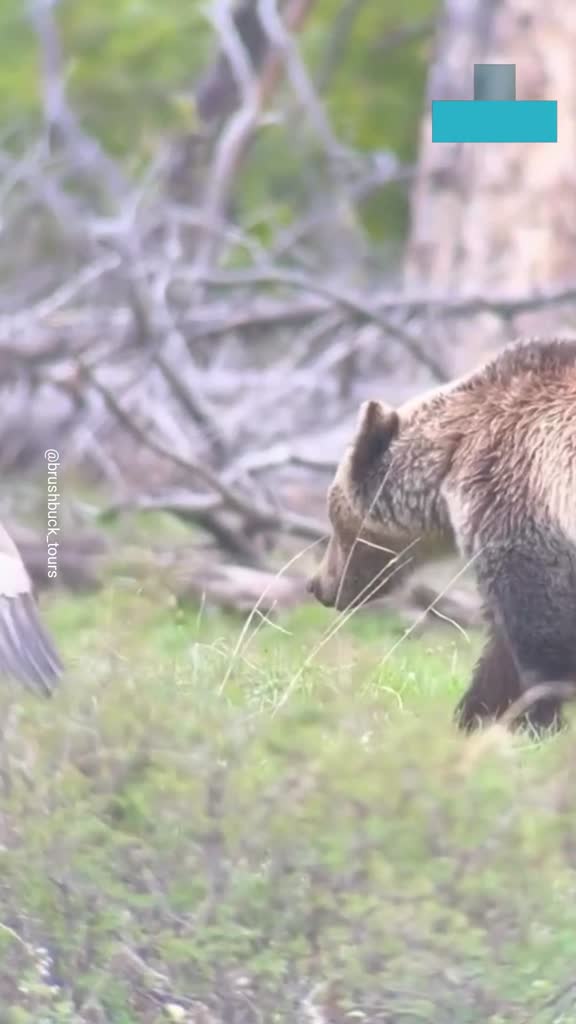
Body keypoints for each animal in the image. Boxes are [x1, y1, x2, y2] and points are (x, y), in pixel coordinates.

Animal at [306, 336, 576, 734]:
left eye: (334, 519)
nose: (317, 585)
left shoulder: (519, 503)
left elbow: (540, 634)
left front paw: (532, 720)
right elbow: (503, 647)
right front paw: (477, 714)